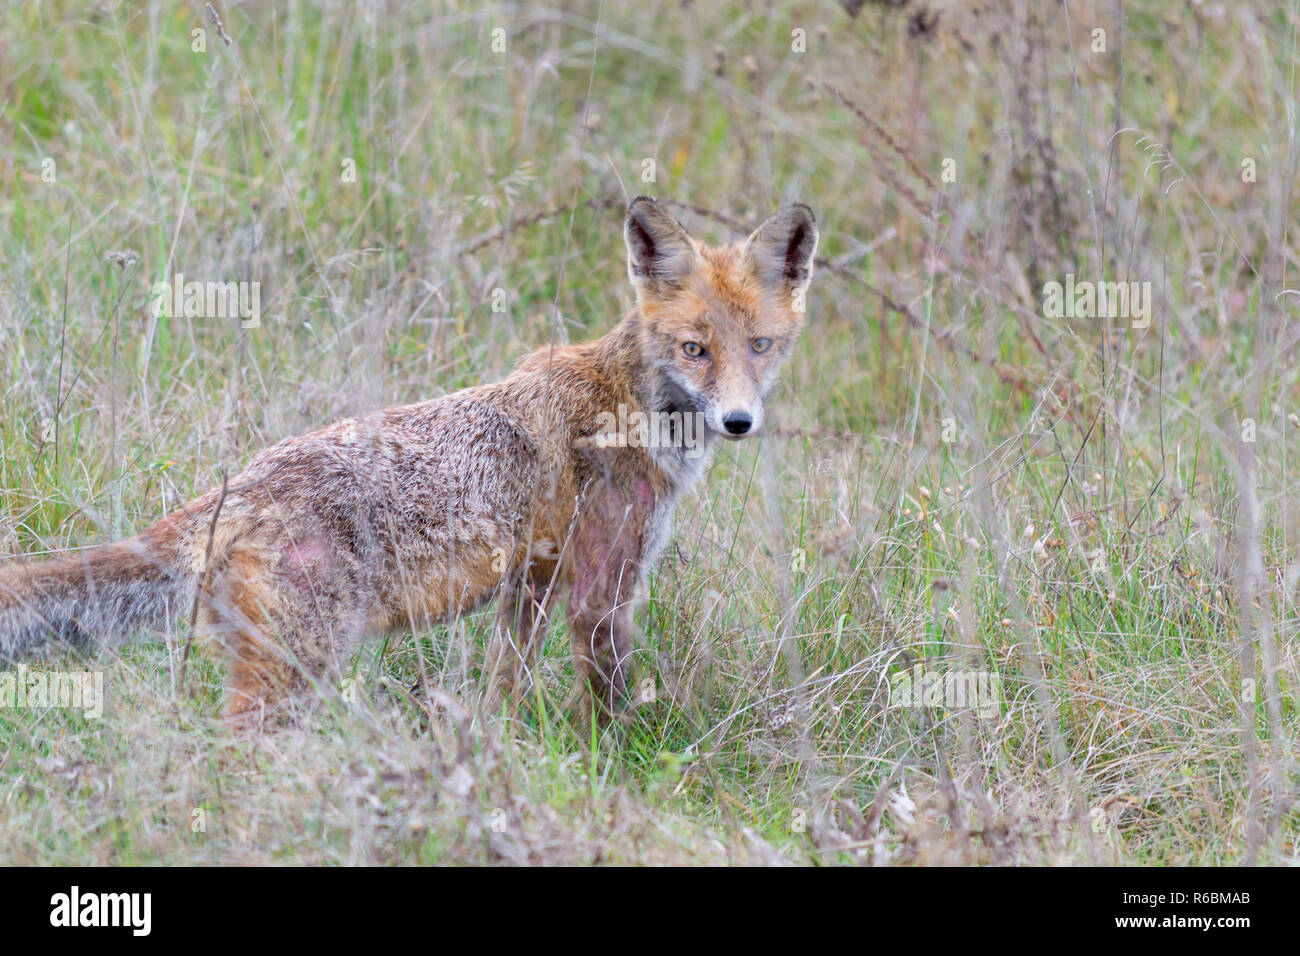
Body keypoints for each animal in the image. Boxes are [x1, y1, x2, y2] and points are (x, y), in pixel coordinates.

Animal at [0, 196, 818, 724]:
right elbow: (615, 714)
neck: (626, 405)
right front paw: (628, 773)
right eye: (694, 349)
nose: (740, 421)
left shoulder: (530, 588)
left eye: (761, 346)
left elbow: (504, 691)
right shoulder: (598, 592)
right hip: (298, 668)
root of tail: (242, 486)